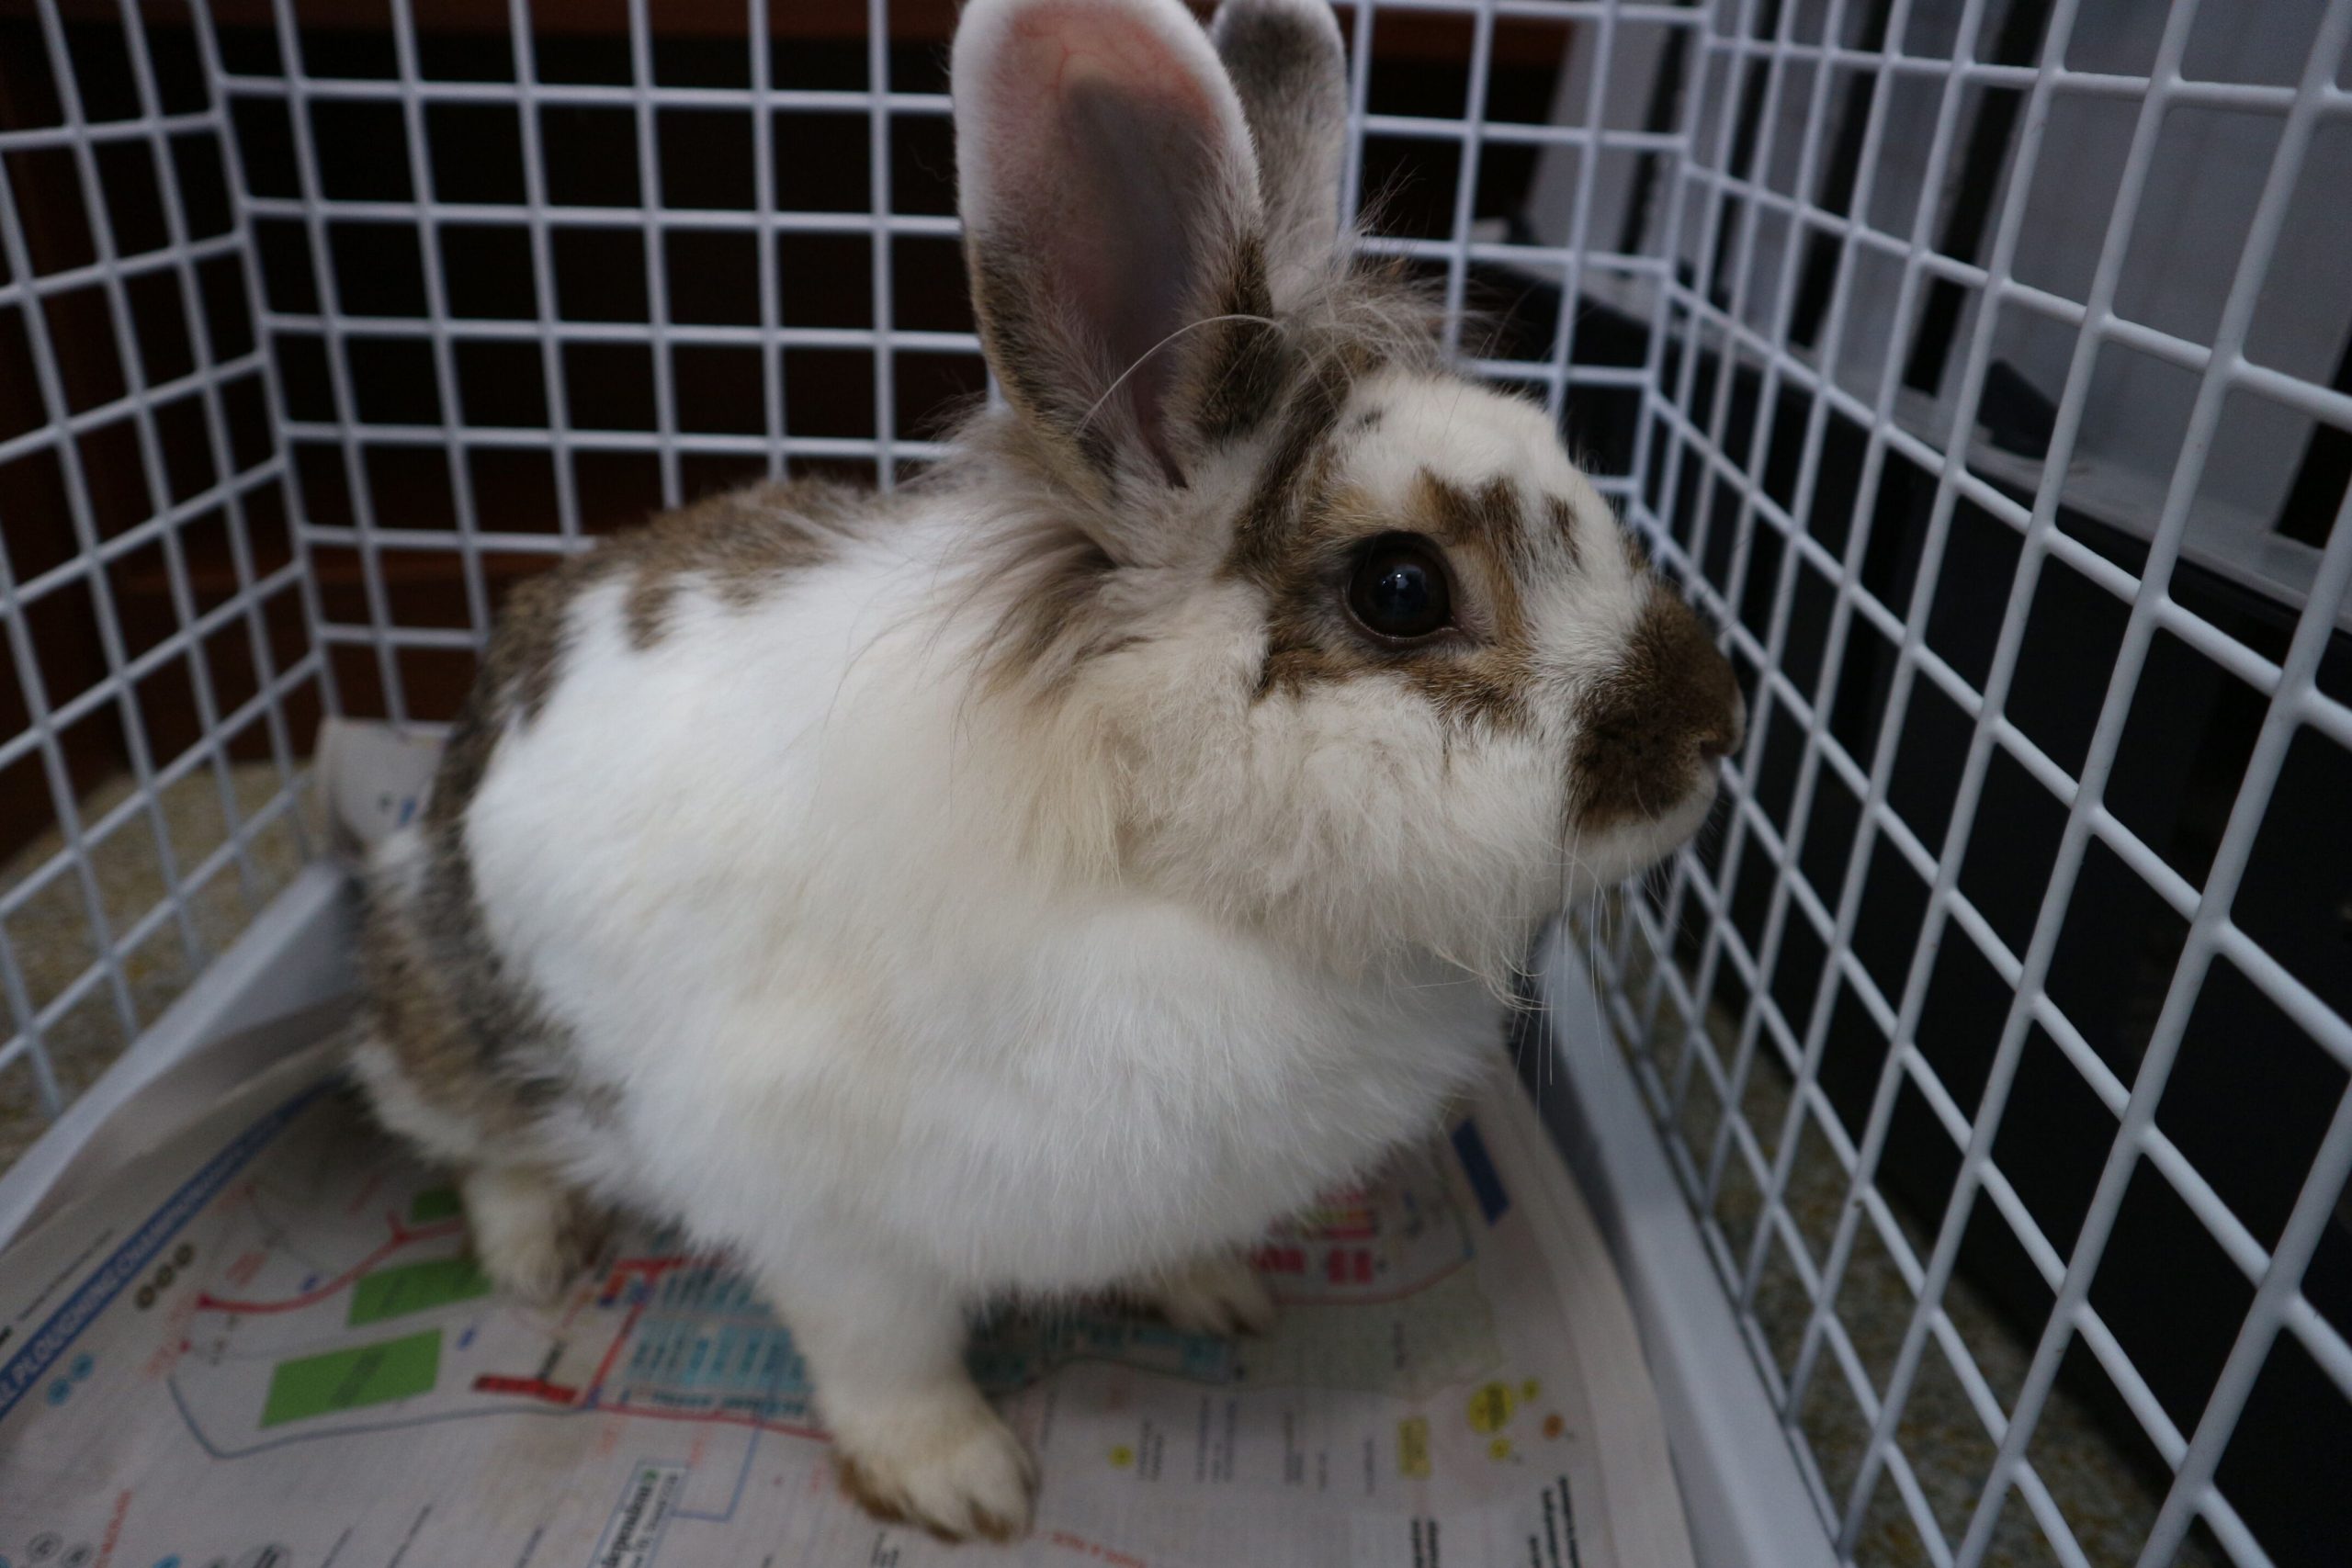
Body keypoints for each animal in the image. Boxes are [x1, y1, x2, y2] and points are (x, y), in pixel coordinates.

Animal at [348, 0, 1743, 1542]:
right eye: (1400, 588)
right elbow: (881, 1350)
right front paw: (956, 1481)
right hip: (449, 1004)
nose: (1716, 728)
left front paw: (1214, 1293)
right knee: (456, 1121)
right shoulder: (821, 1210)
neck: (1166, 866)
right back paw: (537, 1248)